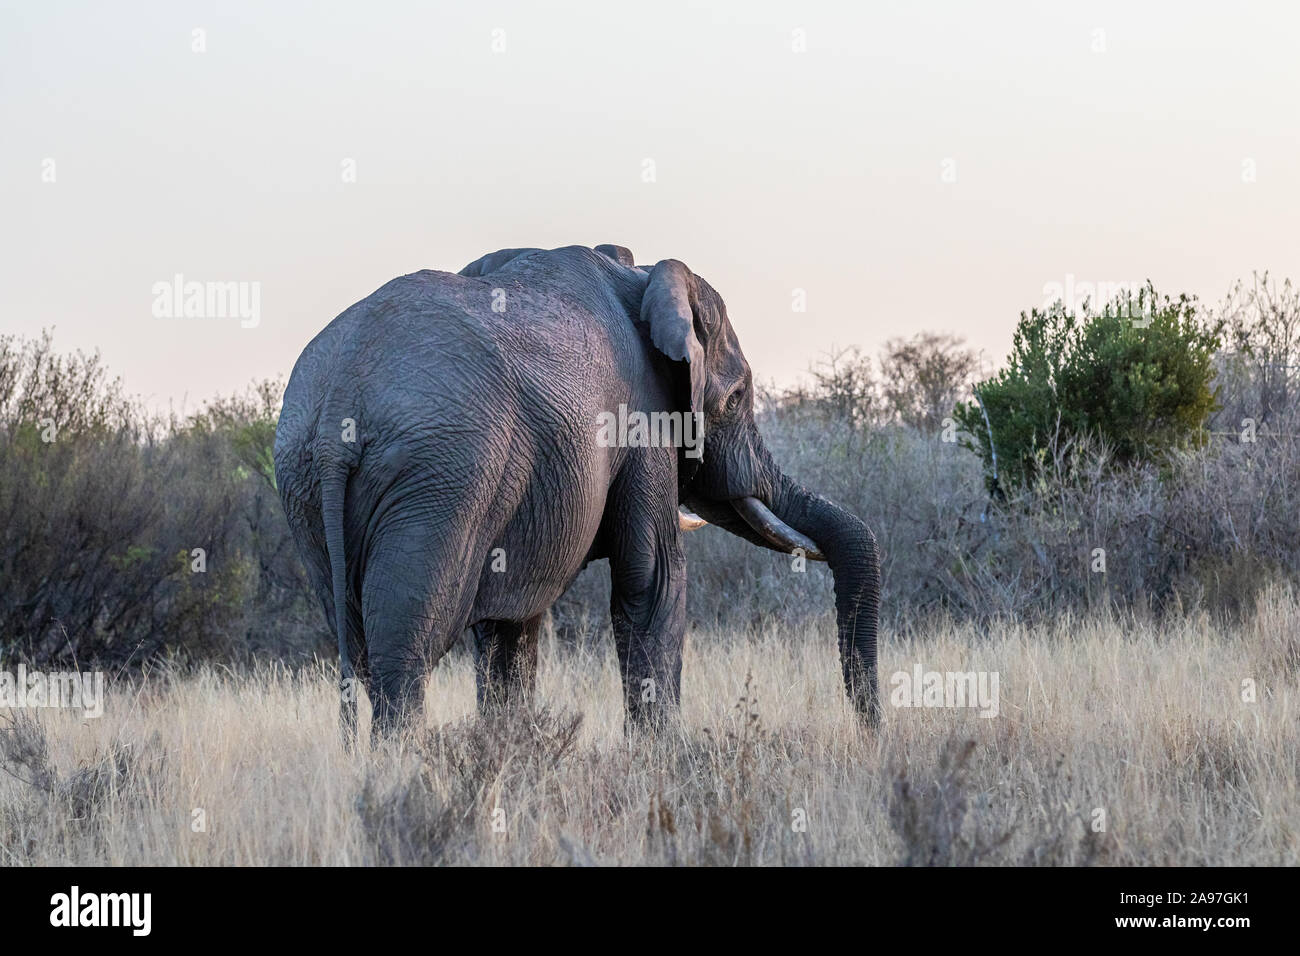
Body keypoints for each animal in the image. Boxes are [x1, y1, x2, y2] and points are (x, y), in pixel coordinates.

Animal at [274, 244, 881, 743]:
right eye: (734, 399)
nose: (871, 736)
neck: (641, 275)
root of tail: (339, 406)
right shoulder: (642, 419)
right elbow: (654, 580)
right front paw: (661, 762)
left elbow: (509, 629)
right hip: (440, 481)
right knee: (406, 653)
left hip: (306, 488)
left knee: (360, 647)